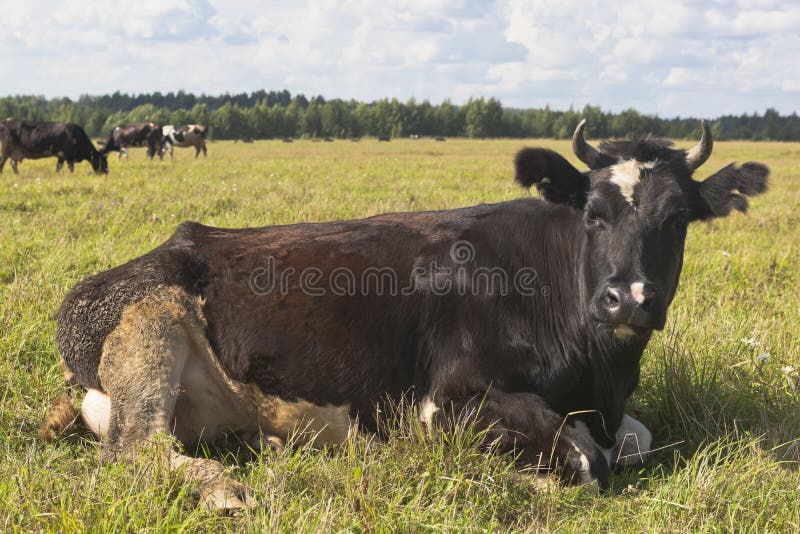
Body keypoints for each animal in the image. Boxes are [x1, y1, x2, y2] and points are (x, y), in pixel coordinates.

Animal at [39, 120, 768, 511]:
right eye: (593, 213)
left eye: (679, 220)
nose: (629, 299)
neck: (600, 377)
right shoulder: (446, 402)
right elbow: (590, 464)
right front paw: (507, 480)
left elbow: (636, 442)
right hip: (150, 327)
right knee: (136, 451)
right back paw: (228, 490)